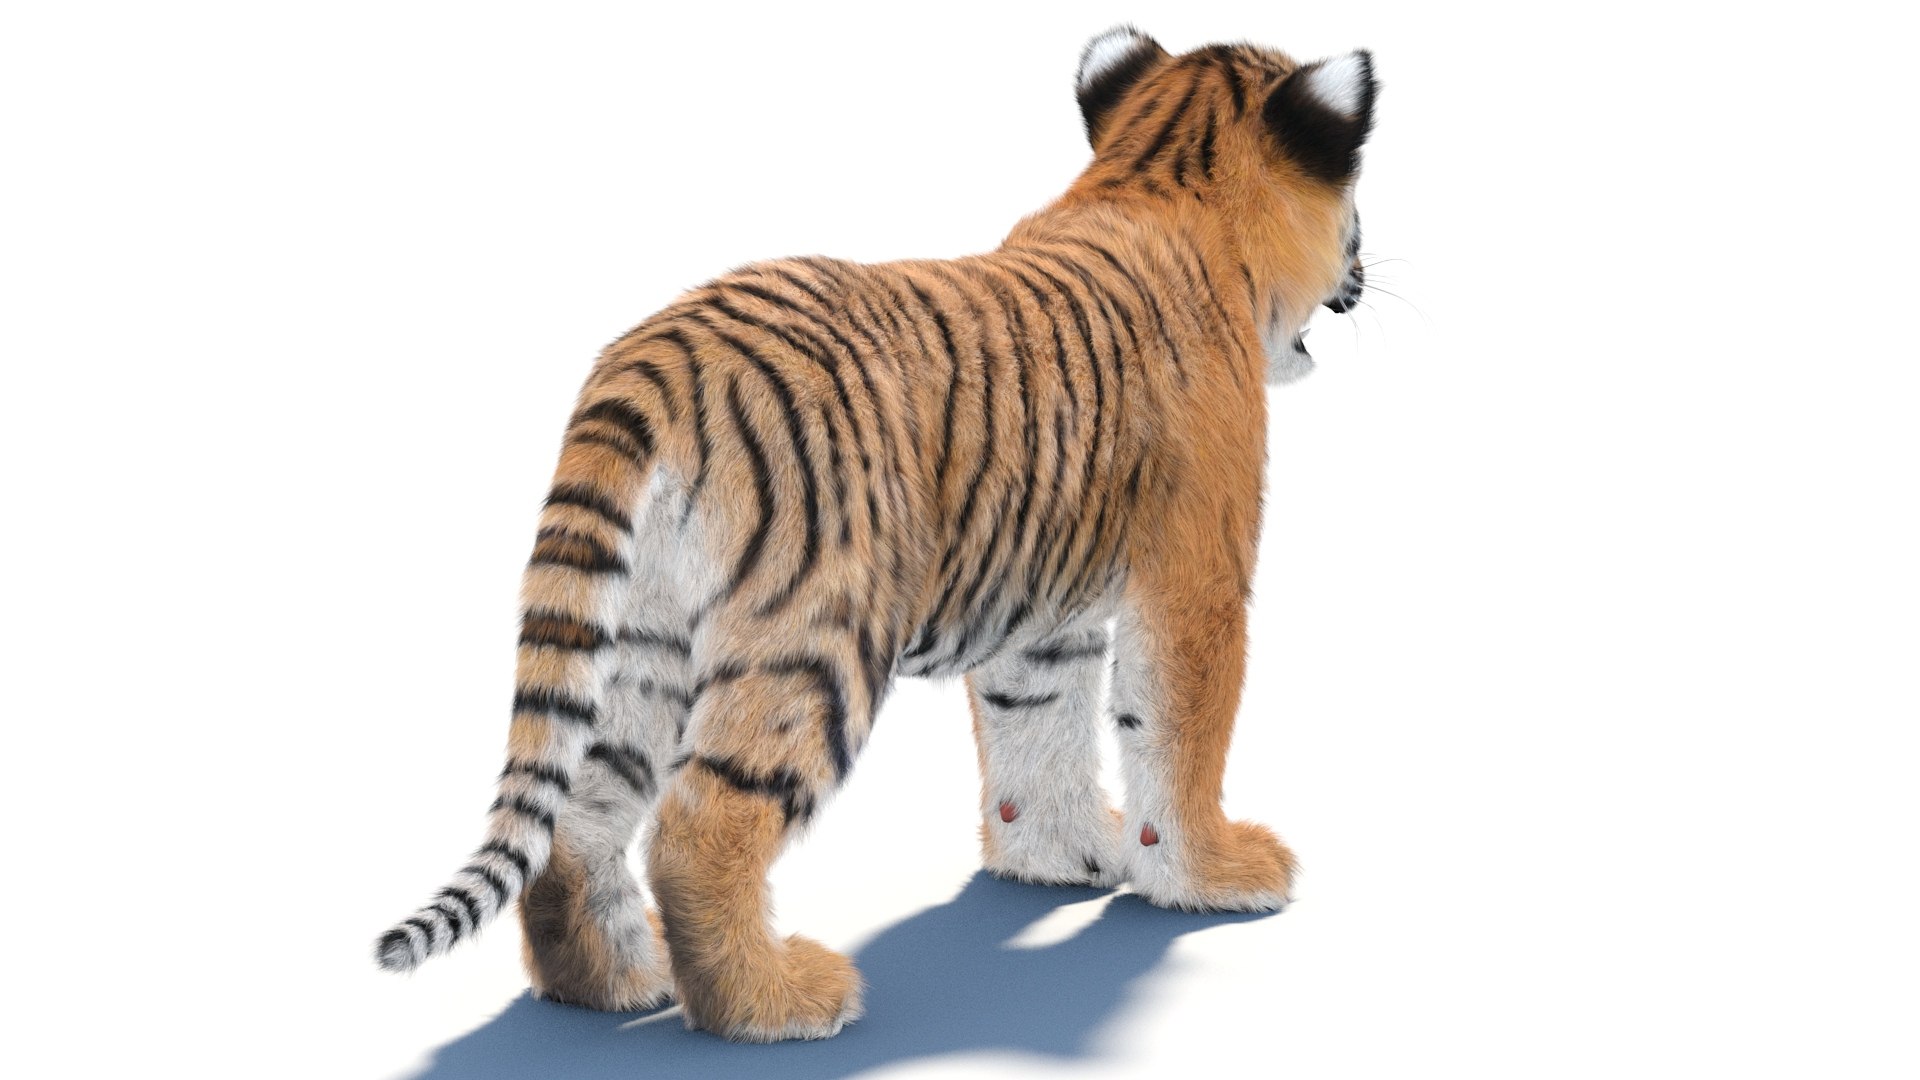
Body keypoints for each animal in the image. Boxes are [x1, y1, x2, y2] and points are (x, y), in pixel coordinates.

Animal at [374, 25, 1379, 1043]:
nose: (1362, 270)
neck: (1157, 179)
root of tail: (656, 359)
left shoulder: (1045, 615)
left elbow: (1038, 729)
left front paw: (1057, 857)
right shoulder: (1194, 578)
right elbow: (1181, 731)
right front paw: (1215, 873)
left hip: (636, 639)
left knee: (574, 822)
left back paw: (611, 982)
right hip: (818, 635)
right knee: (700, 824)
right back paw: (774, 1002)